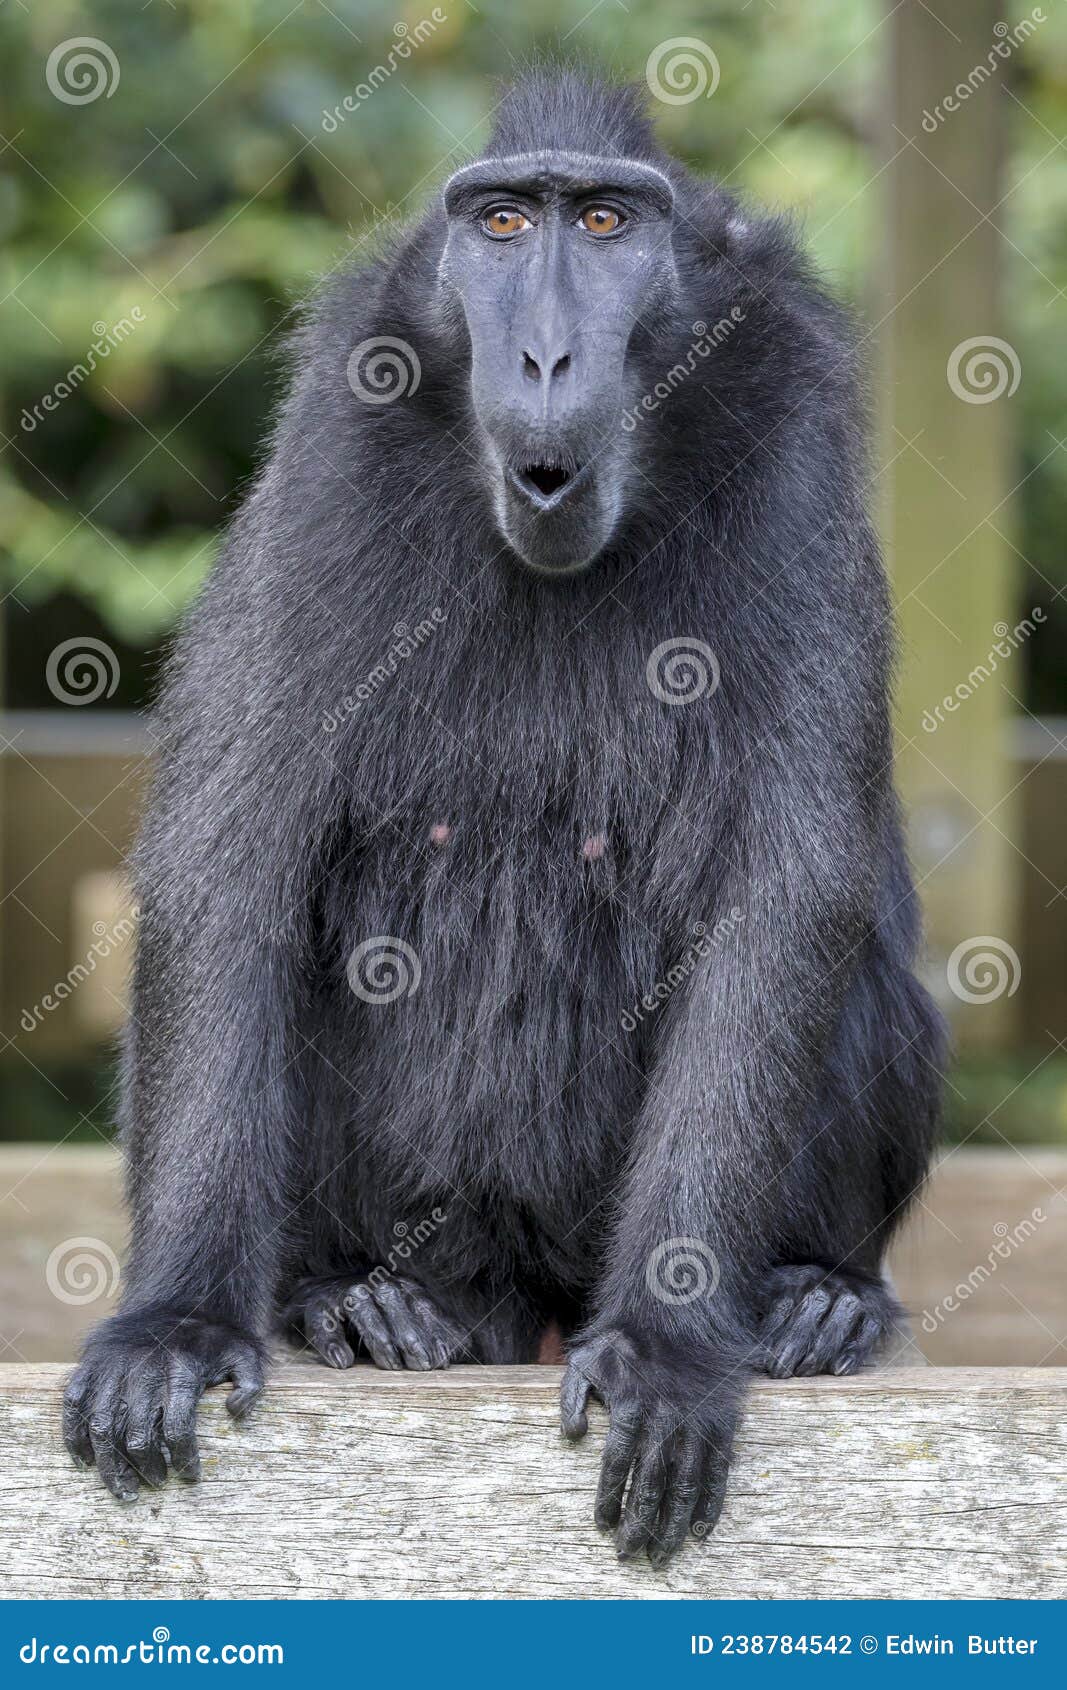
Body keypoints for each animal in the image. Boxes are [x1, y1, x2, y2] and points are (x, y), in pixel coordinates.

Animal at [63, 69, 944, 1566]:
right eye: (498, 224)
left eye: (601, 222)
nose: (538, 361)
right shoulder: (331, 453)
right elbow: (227, 865)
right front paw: (175, 1322)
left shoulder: (794, 448)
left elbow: (784, 899)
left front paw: (667, 1343)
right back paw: (368, 1303)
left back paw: (814, 1295)